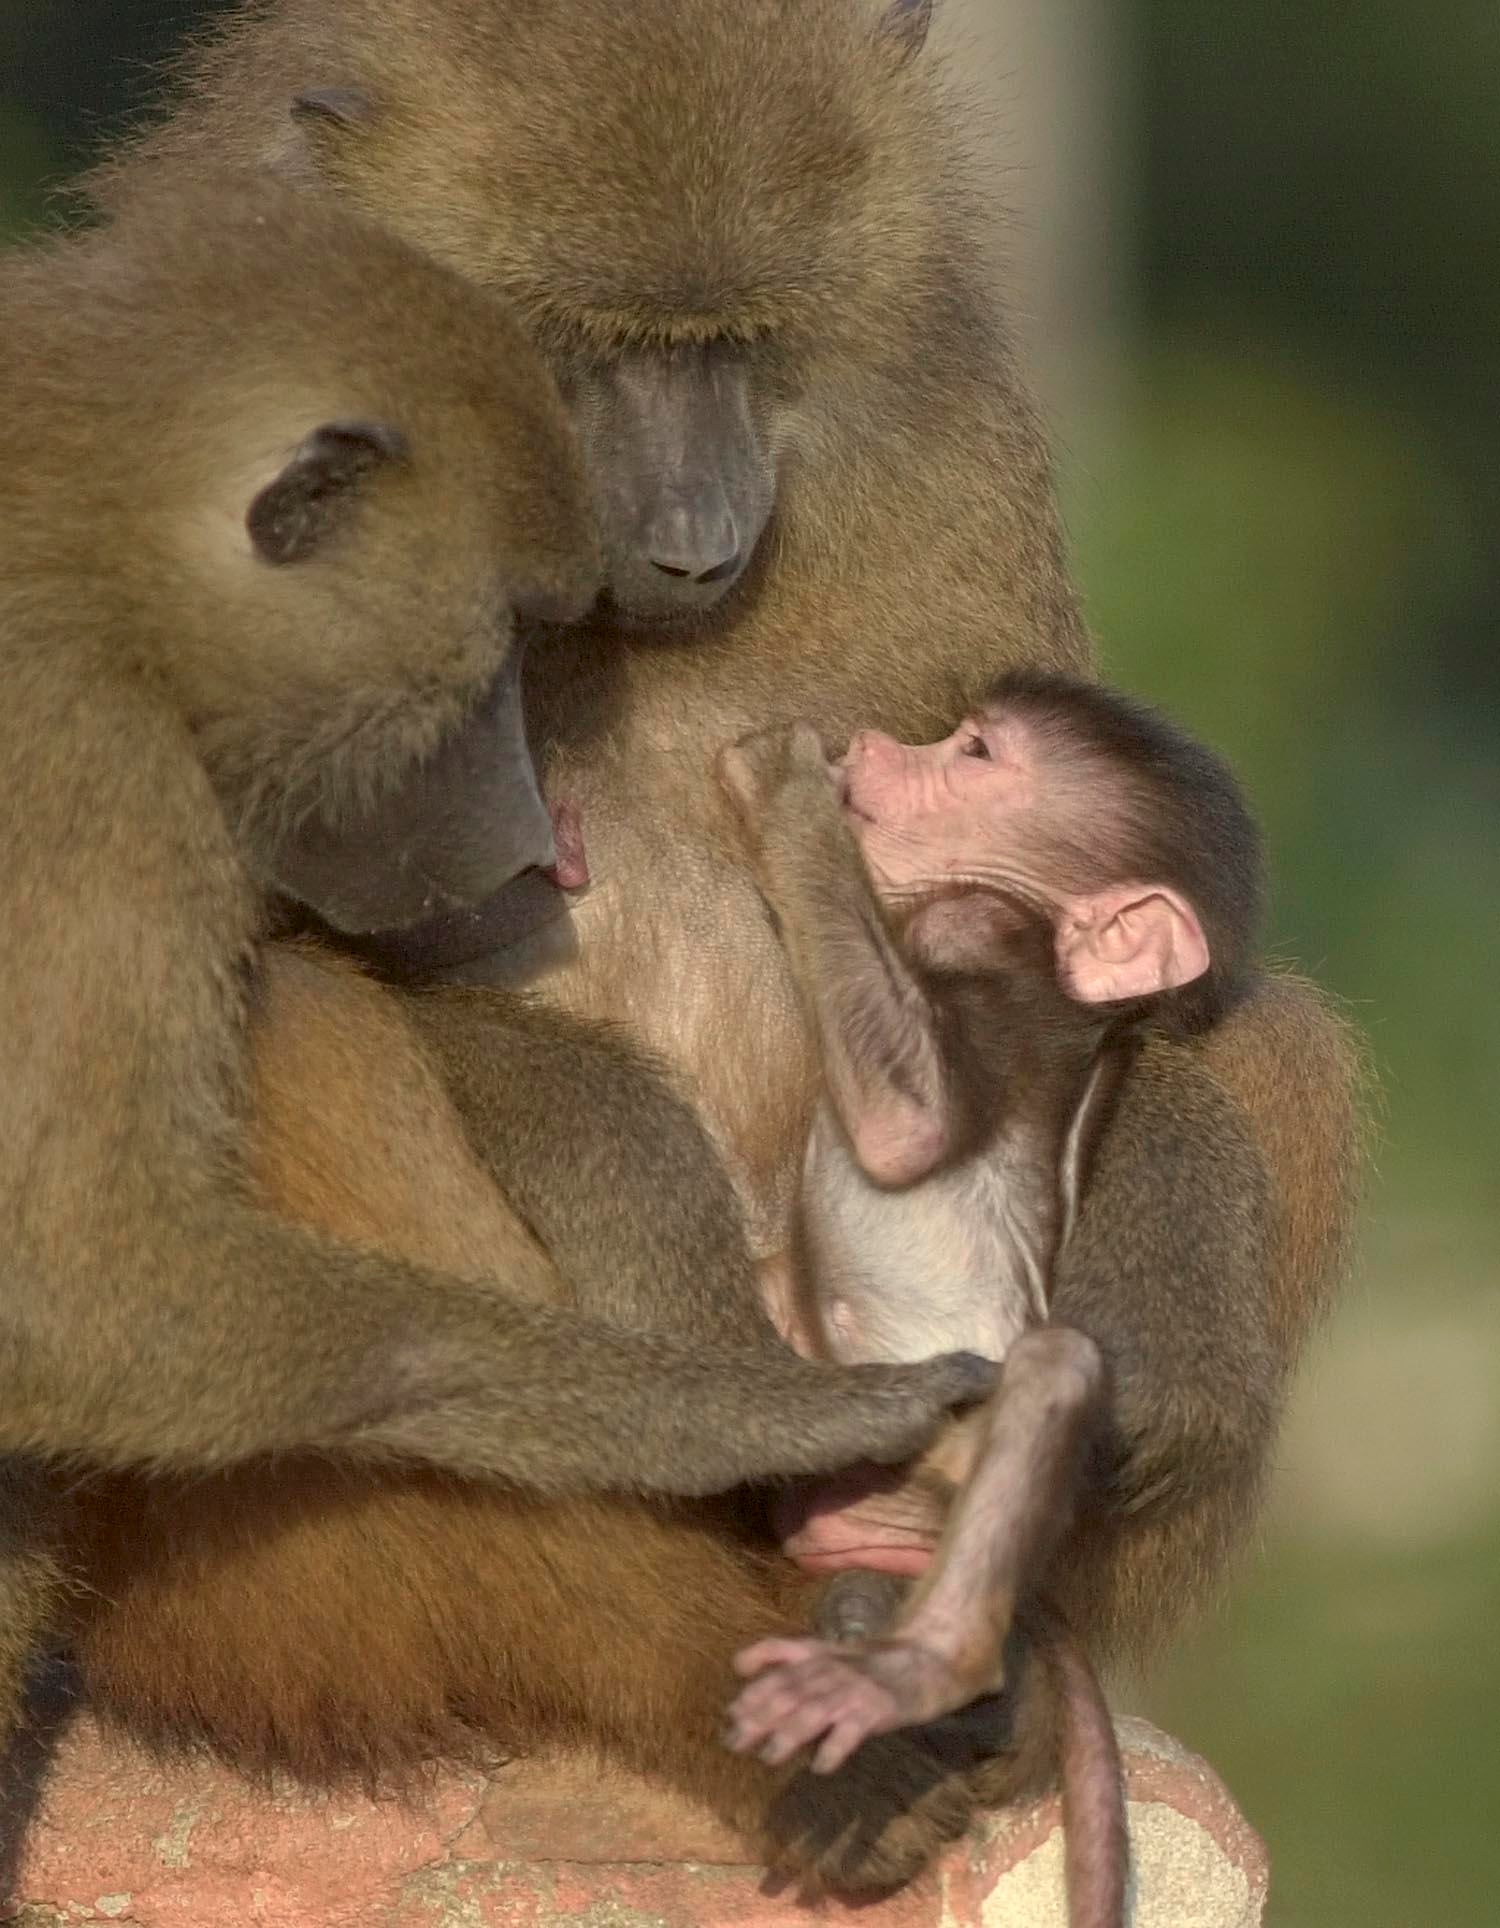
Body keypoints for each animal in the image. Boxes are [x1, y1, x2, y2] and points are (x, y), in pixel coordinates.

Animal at [715, 672, 1265, 1922]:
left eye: (973, 753)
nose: (877, 742)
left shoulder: (981, 933)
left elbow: (908, 1126)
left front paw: (783, 784)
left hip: (953, 1423)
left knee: (1053, 1366)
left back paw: (928, 1666)